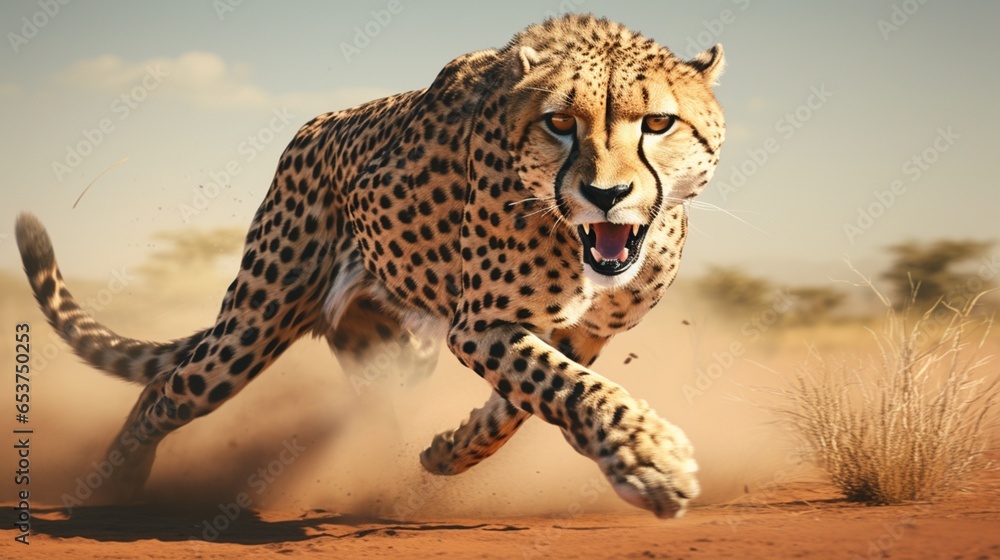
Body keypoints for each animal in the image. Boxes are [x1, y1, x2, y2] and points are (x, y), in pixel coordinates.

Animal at [15, 14, 725, 519]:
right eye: (558, 123)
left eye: (658, 123)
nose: (606, 195)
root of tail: (314, 125)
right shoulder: (481, 325)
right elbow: (570, 388)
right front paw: (651, 461)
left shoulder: (581, 331)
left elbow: (524, 403)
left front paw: (451, 451)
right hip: (253, 325)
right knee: (168, 387)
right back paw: (111, 489)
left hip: (393, 355)